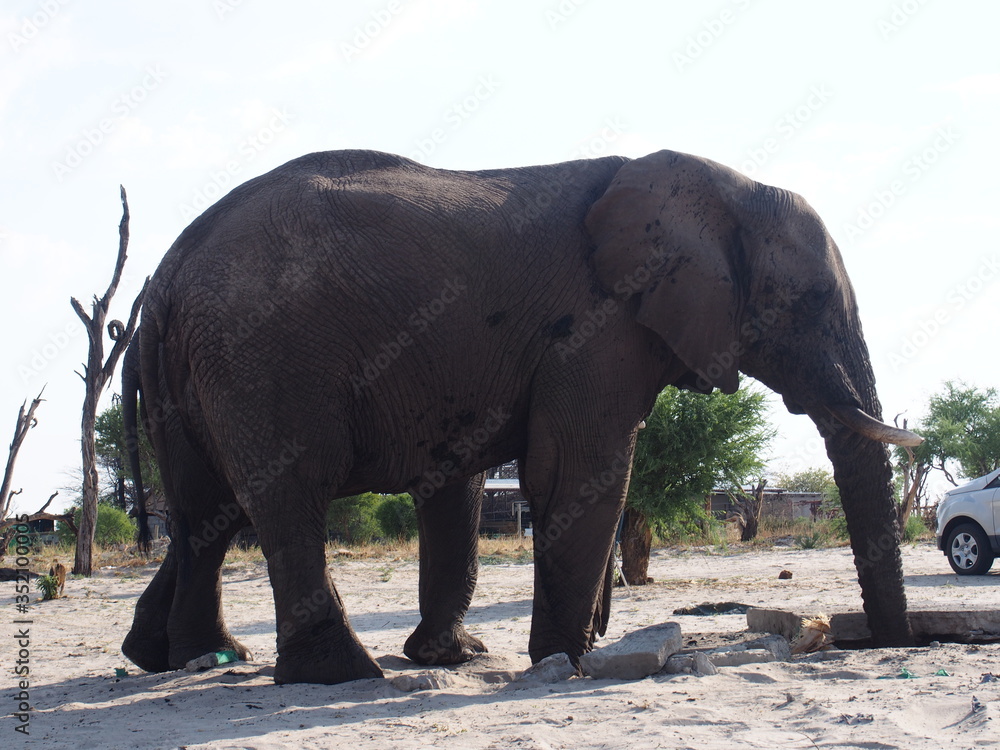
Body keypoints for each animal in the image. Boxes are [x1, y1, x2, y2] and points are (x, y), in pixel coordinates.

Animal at [120, 148, 921, 685]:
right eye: (809, 304)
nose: (880, 643)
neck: (722, 187)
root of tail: (165, 275)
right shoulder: (597, 328)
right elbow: (578, 473)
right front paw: (568, 659)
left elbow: (460, 485)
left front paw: (457, 658)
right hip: (263, 357)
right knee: (287, 496)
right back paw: (339, 675)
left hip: (201, 371)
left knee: (205, 513)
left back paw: (183, 657)